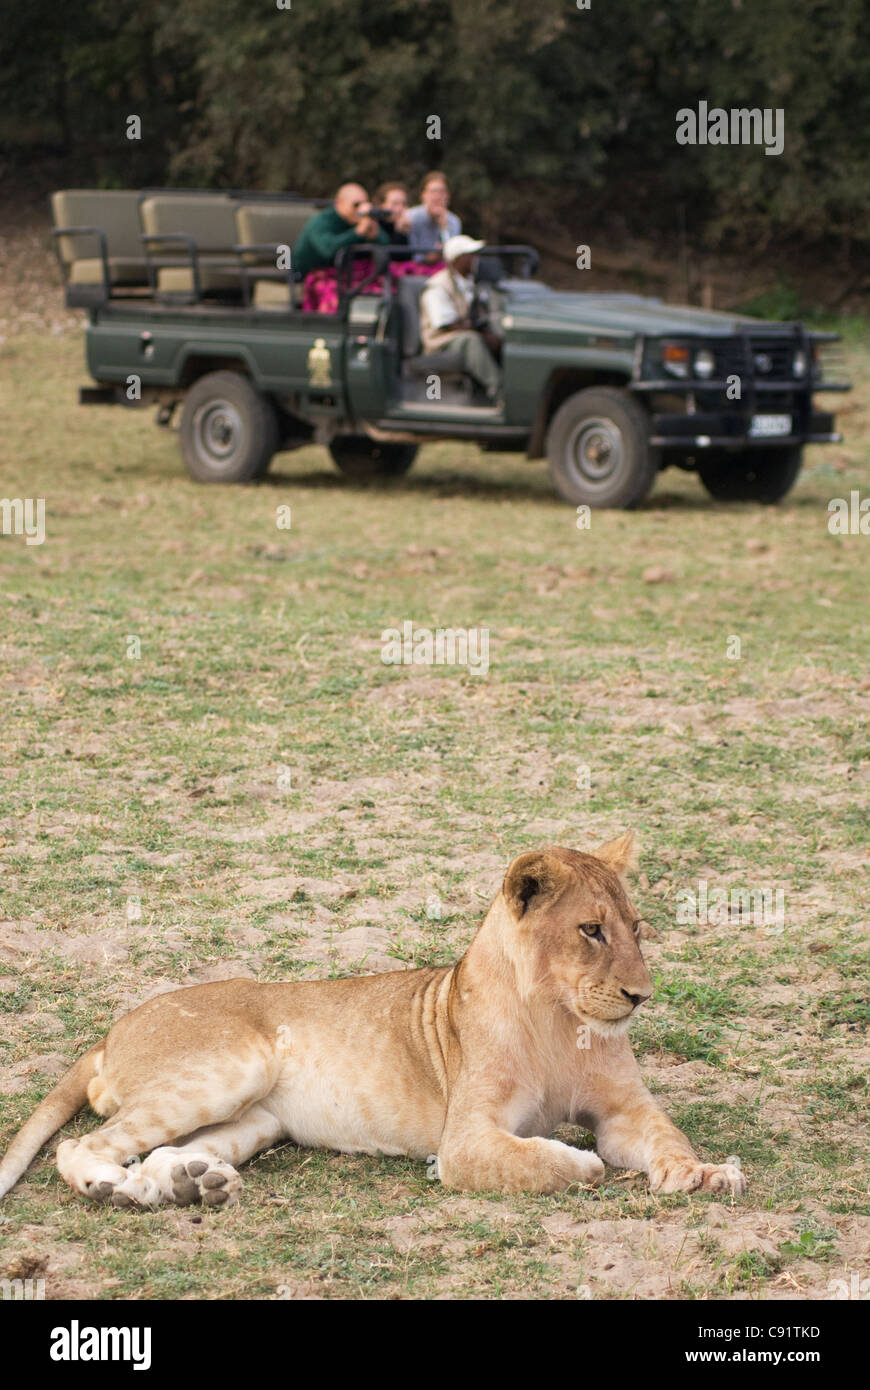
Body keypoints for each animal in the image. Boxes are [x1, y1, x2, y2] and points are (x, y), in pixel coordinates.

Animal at [0, 831, 746, 1208]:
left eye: (636, 930)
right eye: (591, 930)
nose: (641, 996)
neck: (560, 1021)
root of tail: (110, 1032)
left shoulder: (624, 1109)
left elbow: (668, 1136)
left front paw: (704, 1172)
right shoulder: (465, 1140)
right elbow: (552, 1162)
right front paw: (578, 1160)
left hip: (253, 1120)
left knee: (158, 1149)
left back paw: (187, 1185)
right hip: (229, 1068)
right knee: (84, 1144)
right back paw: (112, 1187)